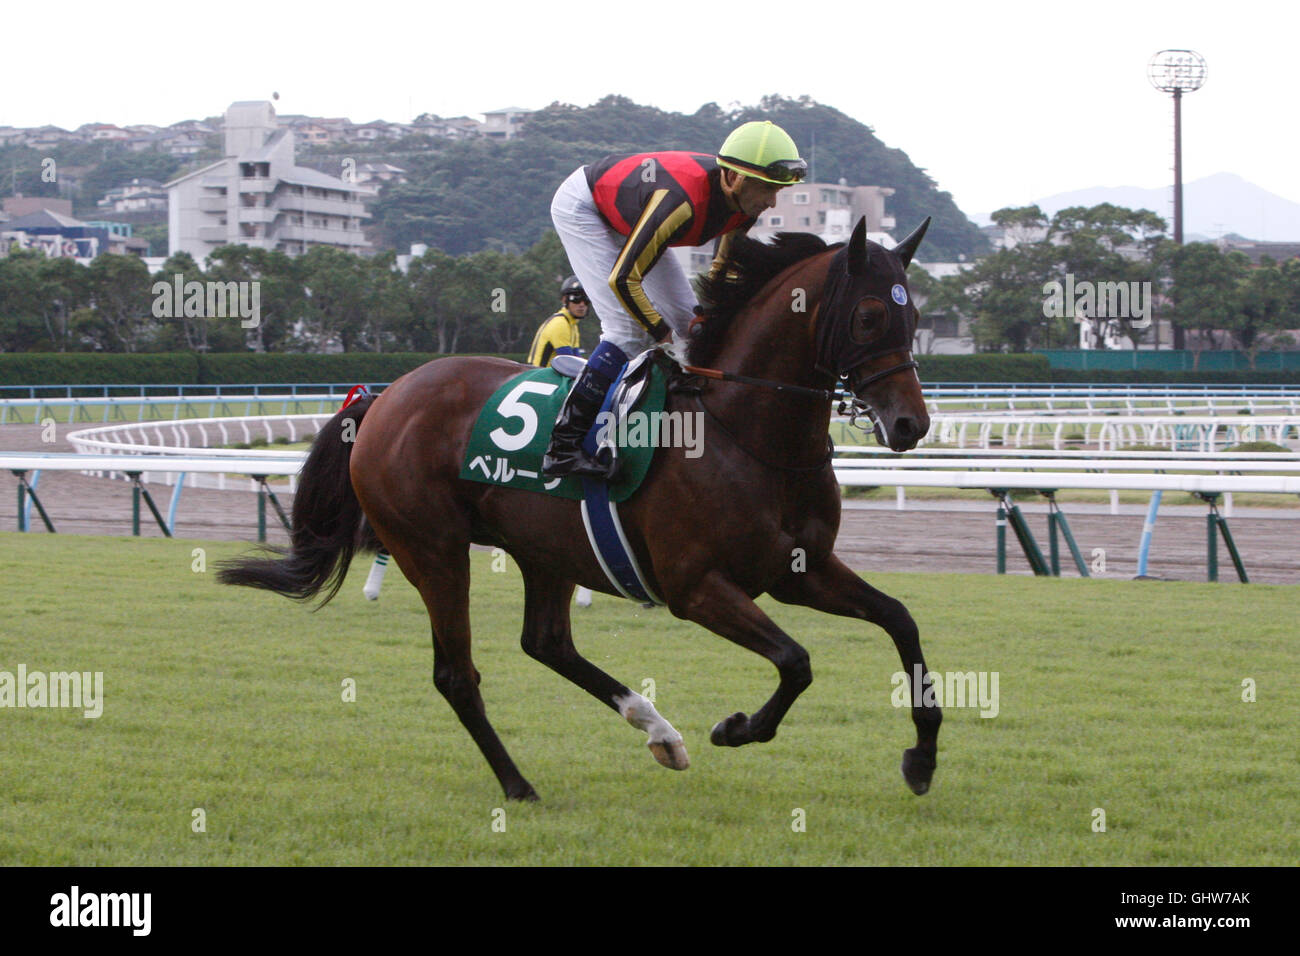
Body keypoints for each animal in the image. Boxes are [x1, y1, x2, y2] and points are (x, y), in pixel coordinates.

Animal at [218, 216, 942, 802]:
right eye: (870, 316)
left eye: (914, 318)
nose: (910, 424)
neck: (744, 430)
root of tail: (384, 396)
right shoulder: (696, 587)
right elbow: (796, 661)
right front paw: (737, 727)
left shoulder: (800, 569)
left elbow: (900, 621)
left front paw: (922, 758)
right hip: (432, 549)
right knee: (457, 674)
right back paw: (519, 784)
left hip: (546, 549)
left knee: (546, 643)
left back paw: (659, 733)